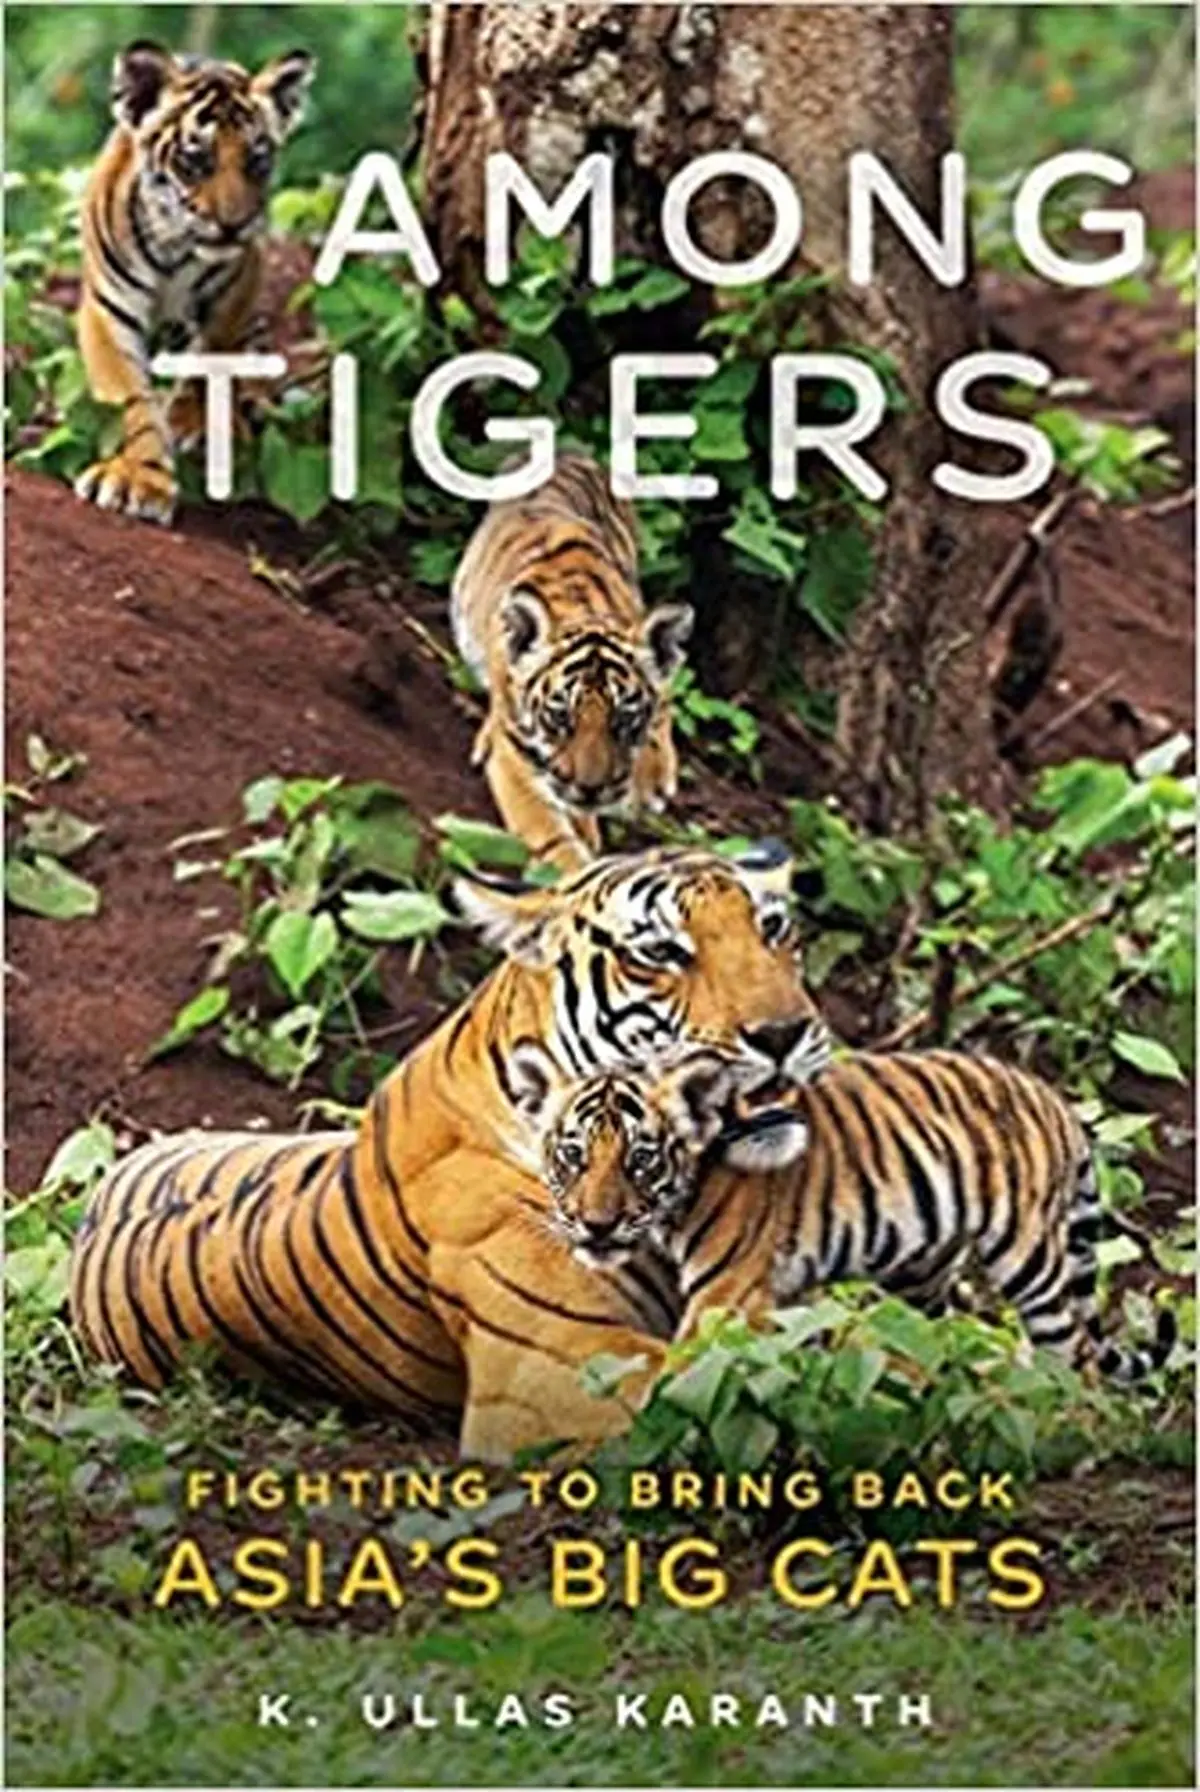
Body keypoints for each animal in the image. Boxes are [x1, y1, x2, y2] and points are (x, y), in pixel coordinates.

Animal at [73, 39, 314, 523]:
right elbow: (130, 400)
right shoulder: (107, 310)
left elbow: (212, 358)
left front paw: (193, 423)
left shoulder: (237, 288)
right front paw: (139, 478)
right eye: (195, 159)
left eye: (257, 160)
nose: (234, 224)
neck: (174, 248)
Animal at [450, 453, 695, 872]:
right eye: (559, 717)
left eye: (624, 720)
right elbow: (554, 838)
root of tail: (569, 451)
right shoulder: (516, 760)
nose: (591, 789)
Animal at [510, 1045, 1177, 1386]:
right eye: (572, 1155)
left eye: (641, 1159)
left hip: (1029, 1259)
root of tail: (1054, 1099)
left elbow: (678, 1373)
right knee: (926, 1340)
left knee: (1079, 1355)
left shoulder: (726, 1297)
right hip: (922, 1271)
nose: (596, 1225)